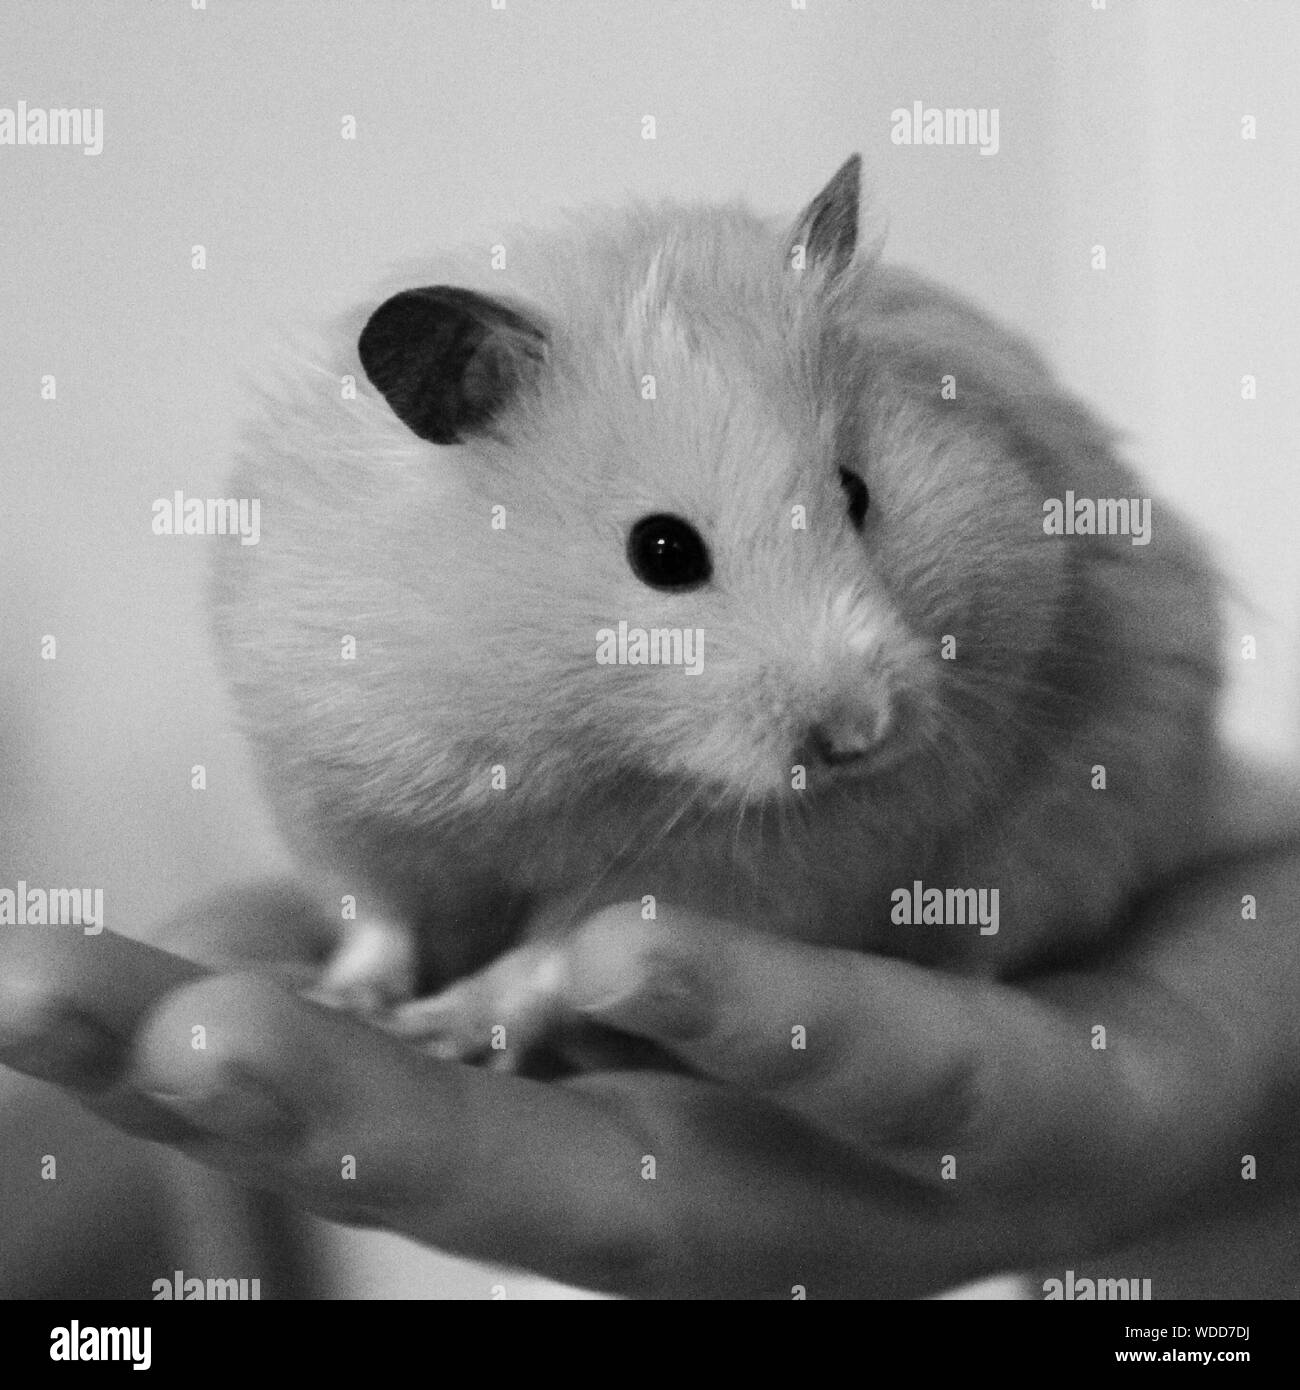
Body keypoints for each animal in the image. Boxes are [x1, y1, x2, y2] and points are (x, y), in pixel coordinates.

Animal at [211, 154, 1221, 1065]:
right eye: (662, 552)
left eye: (857, 492)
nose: (863, 738)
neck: (598, 757)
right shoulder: (329, 780)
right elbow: (375, 913)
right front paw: (344, 1002)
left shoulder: (734, 871)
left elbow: (555, 953)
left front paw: (447, 1027)